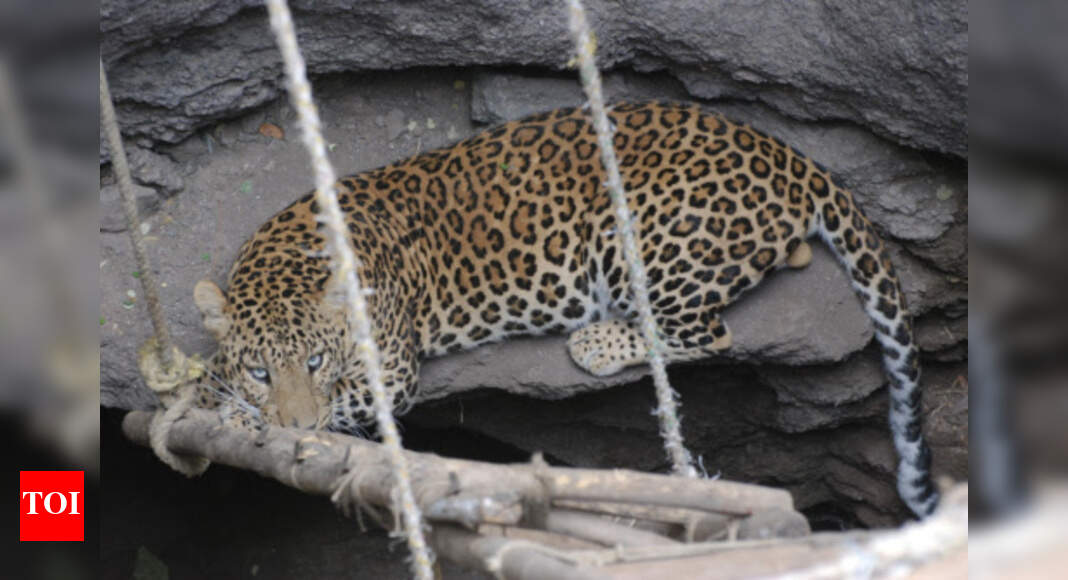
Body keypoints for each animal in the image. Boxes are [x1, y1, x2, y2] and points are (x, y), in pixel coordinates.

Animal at [191, 101, 938, 517]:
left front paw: (250, 418)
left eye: (318, 361)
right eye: (262, 370)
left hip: (633, 231)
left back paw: (598, 343)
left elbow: (343, 406)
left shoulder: (393, 372)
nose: (291, 426)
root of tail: (787, 153)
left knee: (706, 331)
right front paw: (212, 395)